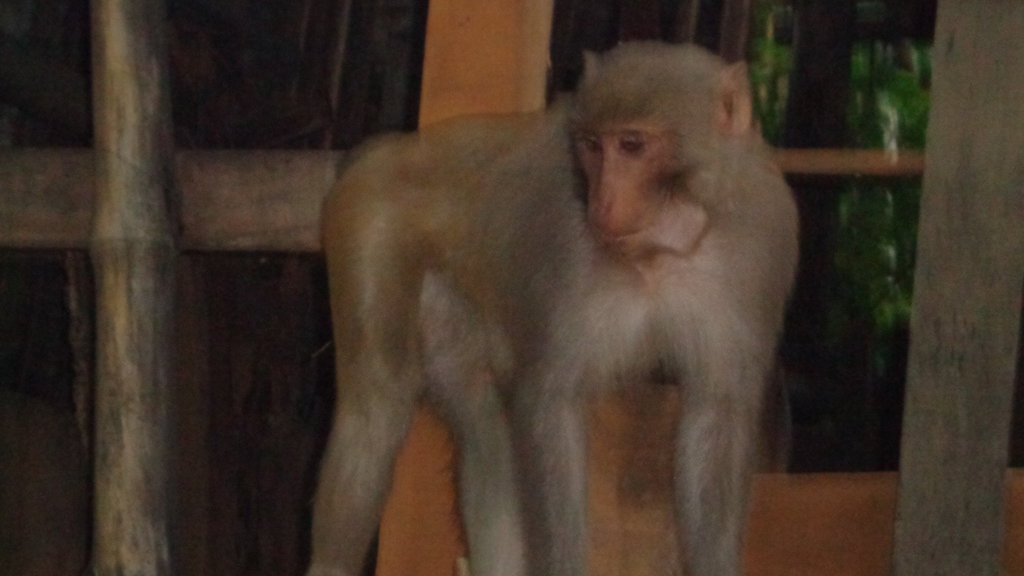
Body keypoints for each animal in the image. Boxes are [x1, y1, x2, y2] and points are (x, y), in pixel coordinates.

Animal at [309, 42, 799, 576]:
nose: (602, 202)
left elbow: (717, 409)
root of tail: (395, 147)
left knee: (486, 426)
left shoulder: (760, 238)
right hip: (370, 218)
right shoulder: (563, 241)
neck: (659, 248)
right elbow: (549, 402)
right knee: (377, 405)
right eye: (592, 145)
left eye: (632, 145)